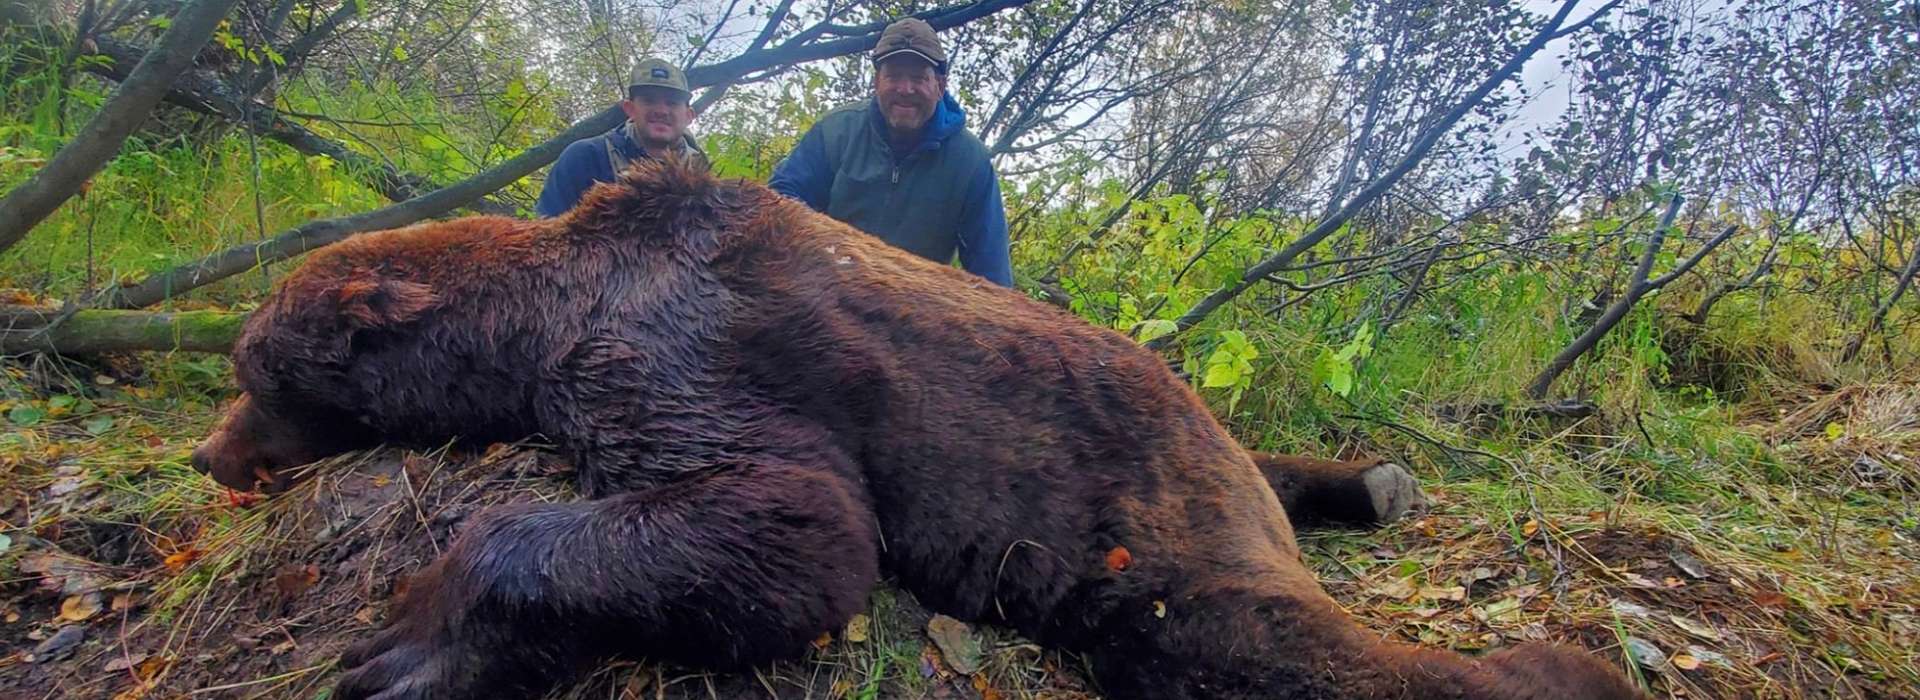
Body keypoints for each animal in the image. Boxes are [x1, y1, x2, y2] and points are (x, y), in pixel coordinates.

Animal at [189, 158, 1645, 700]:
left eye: (259, 368)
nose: (207, 454)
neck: (555, 303)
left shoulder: (687, 354)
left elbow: (800, 527)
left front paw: (413, 643)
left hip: (1153, 547)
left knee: (1258, 646)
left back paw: (1570, 666)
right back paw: (1372, 484)